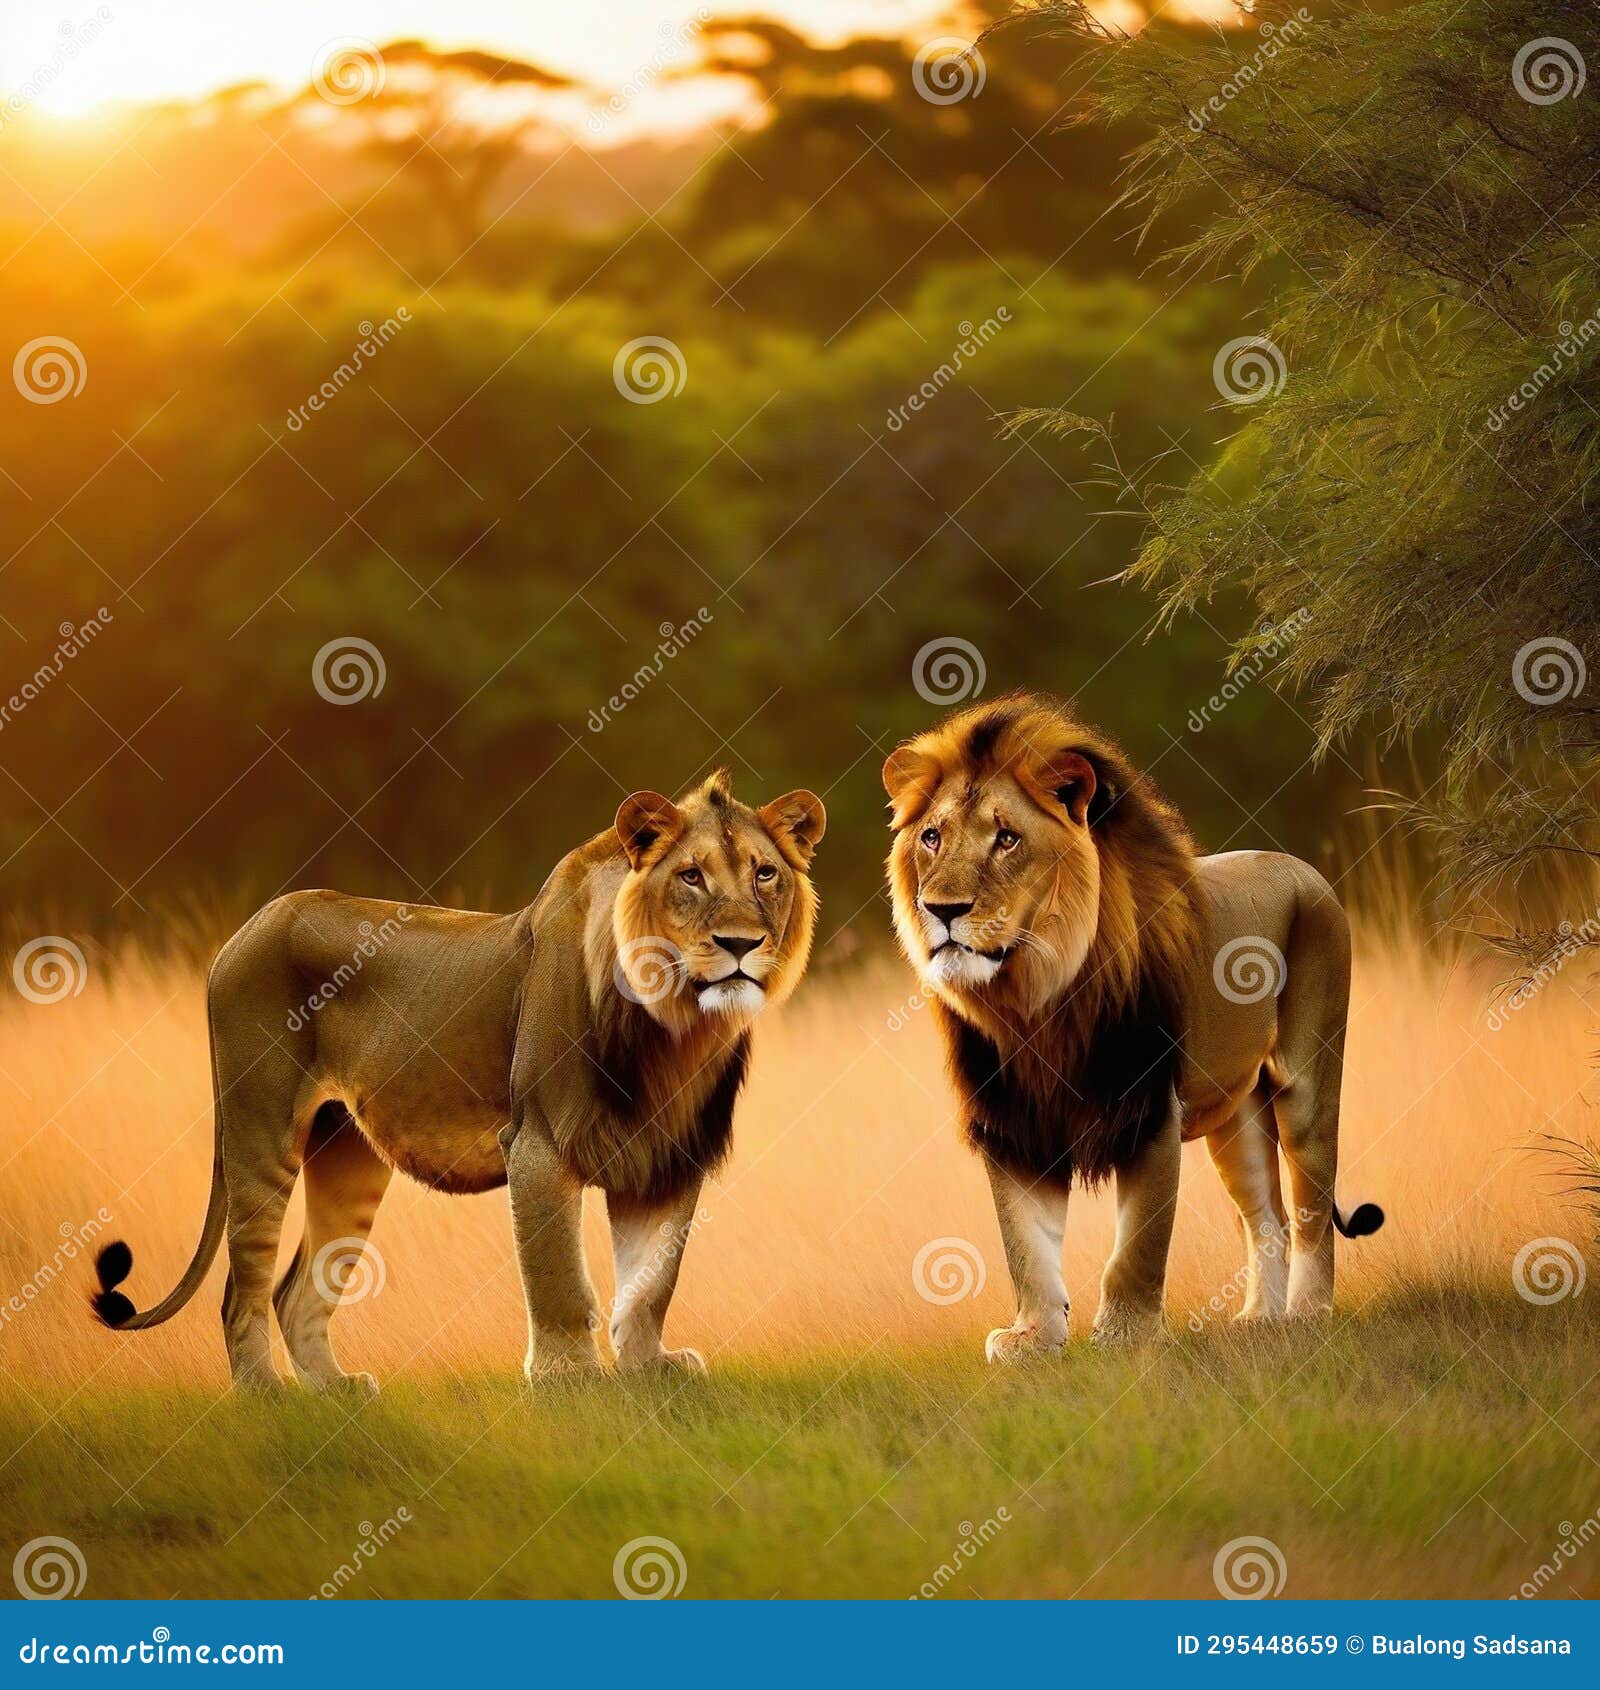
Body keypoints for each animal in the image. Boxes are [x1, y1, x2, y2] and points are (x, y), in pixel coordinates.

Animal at [91, 771, 825, 1390]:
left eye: (765, 874)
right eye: (691, 876)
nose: (740, 945)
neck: (673, 1023)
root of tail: (240, 934)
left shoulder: (667, 1157)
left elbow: (651, 1284)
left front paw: (649, 1370)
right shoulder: (537, 1142)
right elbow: (557, 1274)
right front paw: (568, 1377)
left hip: (347, 1153)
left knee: (294, 1290)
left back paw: (332, 1393)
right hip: (259, 1131)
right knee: (241, 1287)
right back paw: (265, 1397)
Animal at [883, 692, 1382, 1358]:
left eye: (1007, 839)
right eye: (932, 837)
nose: (941, 910)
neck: (1035, 1000)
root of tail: (1302, 868)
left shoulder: (1148, 1107)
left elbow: (1139, 1241)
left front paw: (1124, 1334)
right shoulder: (1014, 1123)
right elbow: (1025, 1246)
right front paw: (1034, 1339)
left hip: (1307, 1084)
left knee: (1311, 1207)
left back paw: (1306, 1314)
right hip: (1238, 1113)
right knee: (1265, 1218)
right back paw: (1259, 1319)